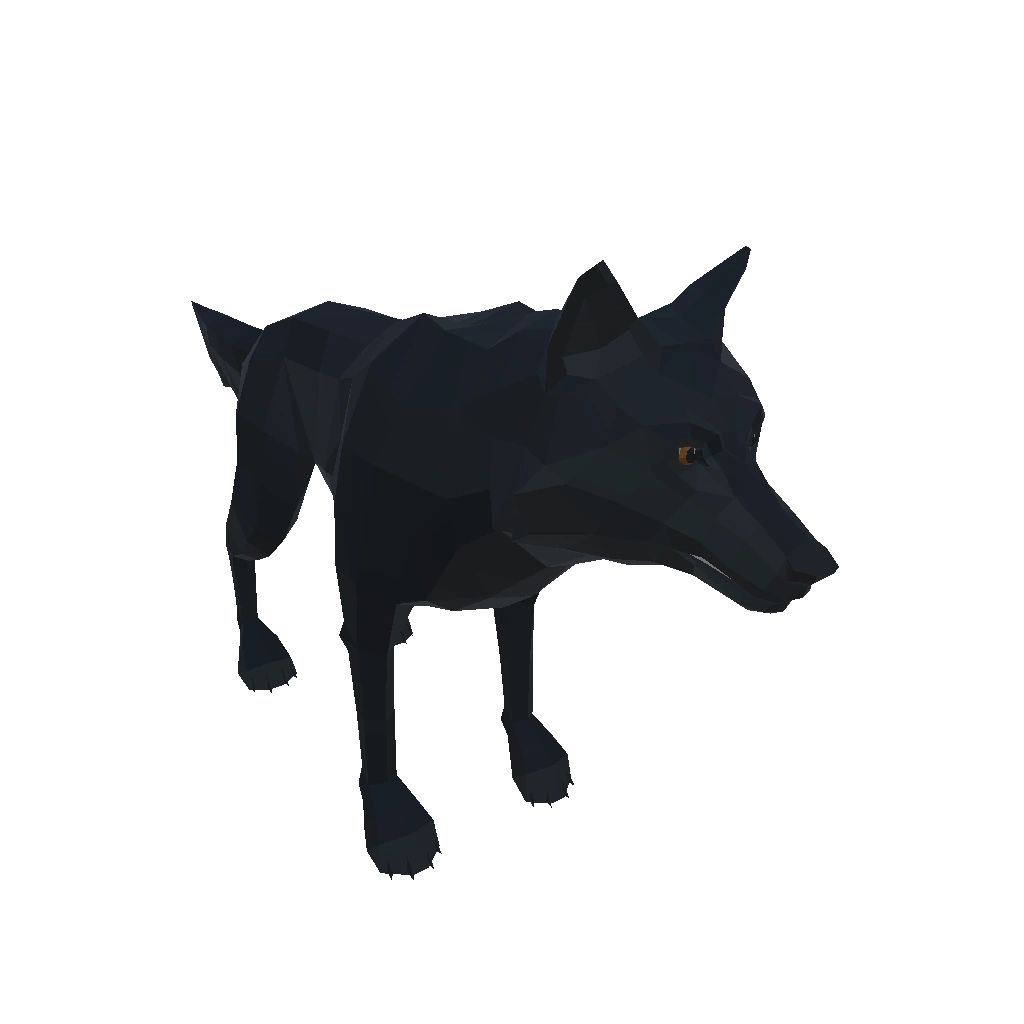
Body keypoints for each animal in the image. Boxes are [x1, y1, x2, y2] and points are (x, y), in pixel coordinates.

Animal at [196, 243, 837, 878]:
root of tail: (278, 326)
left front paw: (532, 763)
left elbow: (518, 676)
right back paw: (260, 657)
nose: (822, 565)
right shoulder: (374, 589)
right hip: (270, 505)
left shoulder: (514, 587)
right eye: (688, 451)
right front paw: (396, 828)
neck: (487, 456)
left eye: (753, 436)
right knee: (235, 542)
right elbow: (377, 722)